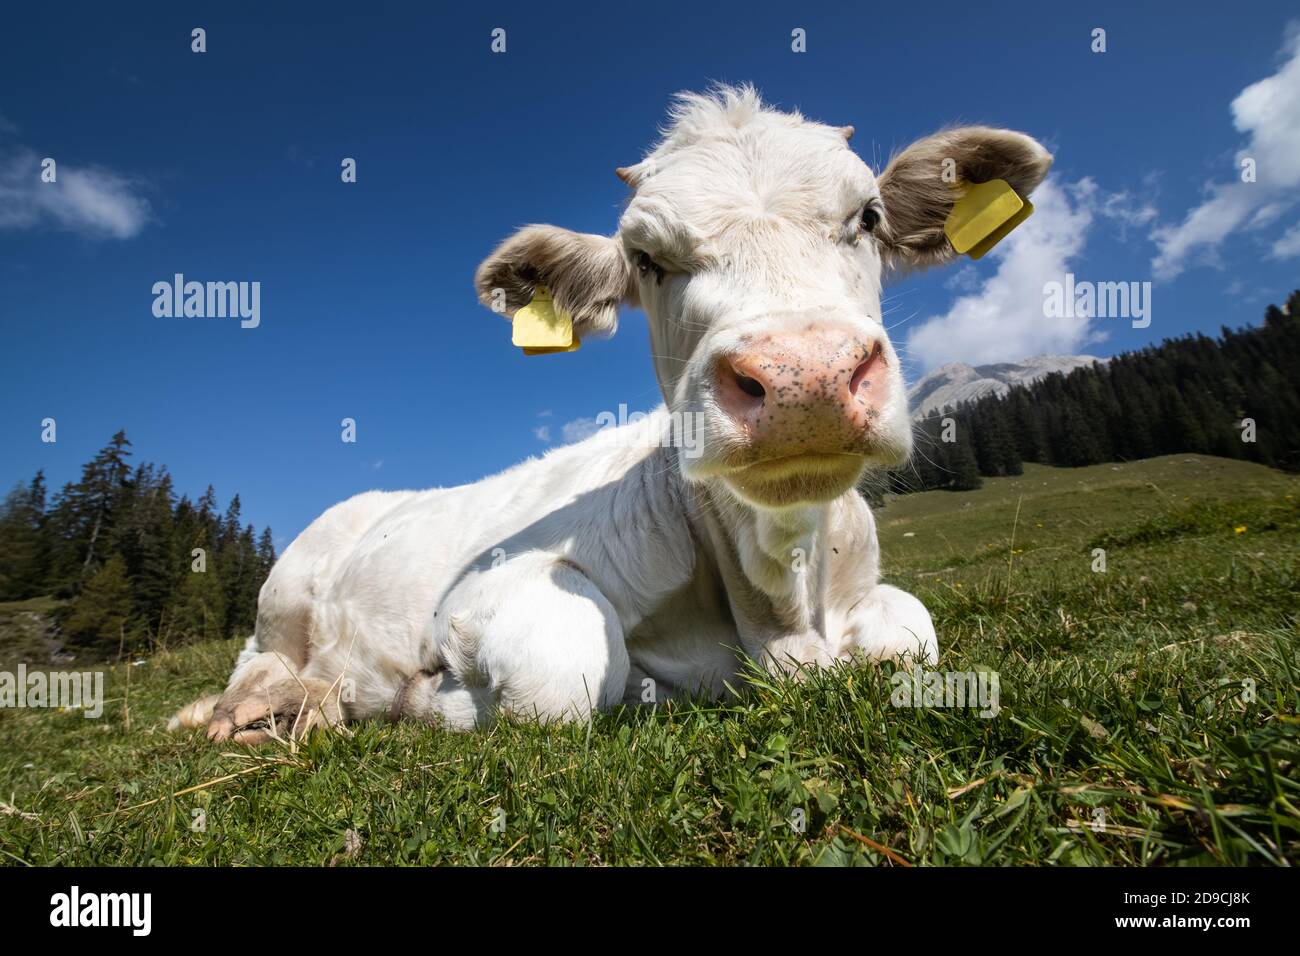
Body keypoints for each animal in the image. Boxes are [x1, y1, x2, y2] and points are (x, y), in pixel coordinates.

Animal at [169, 86, 1051, 743]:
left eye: (867, 217)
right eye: (646, 259)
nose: (803, 372)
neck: (781, 616)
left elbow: (914, 628)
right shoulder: (491, 593)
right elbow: (564, 677)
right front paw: (422, 700)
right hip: (285, 590)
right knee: (257, 659)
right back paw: (260, 708)